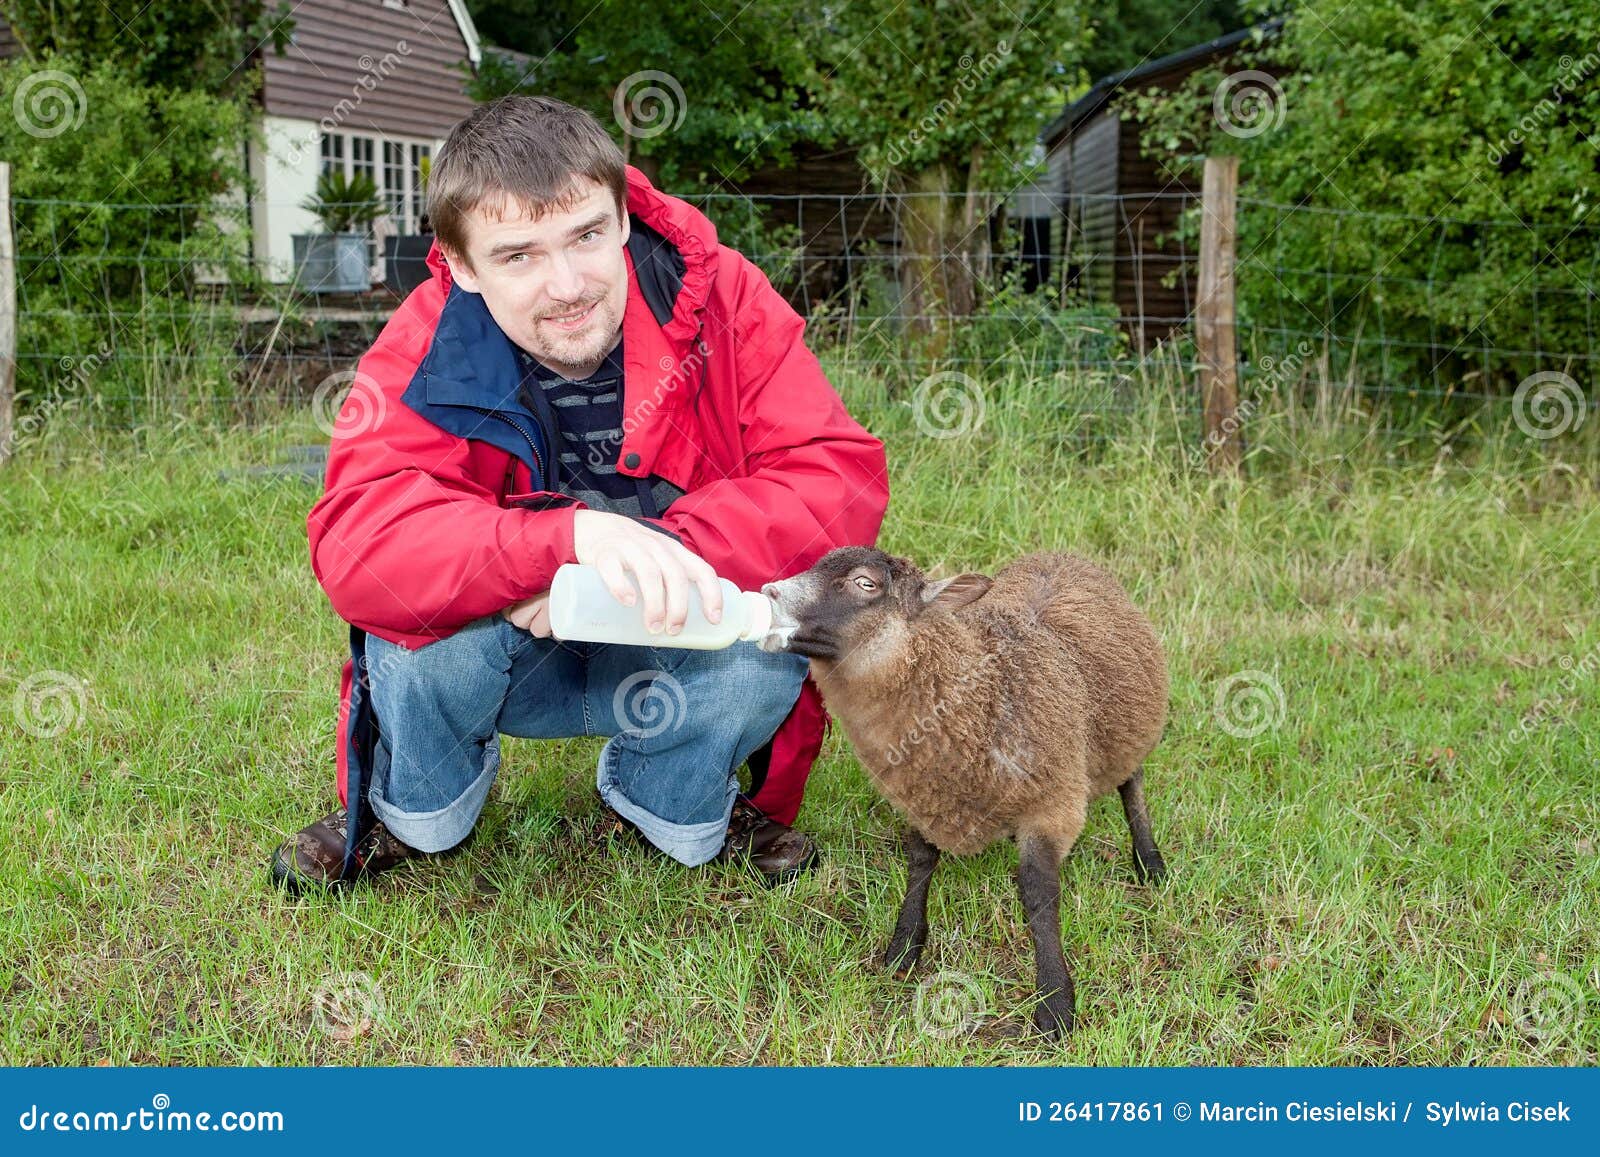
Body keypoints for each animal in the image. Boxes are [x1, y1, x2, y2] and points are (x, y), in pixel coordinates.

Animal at [759, 546, 1169, 1039]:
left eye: (865, 584)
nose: (767, 594)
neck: (980, 694)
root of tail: (1065, 554)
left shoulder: (1054, 803)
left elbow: (1039, 892)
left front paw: (1055, 1004)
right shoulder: (925, 796)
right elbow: (920, 862)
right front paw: (904, 946)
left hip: (1127, 730)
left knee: (1133, 780)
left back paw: (1149, 860)